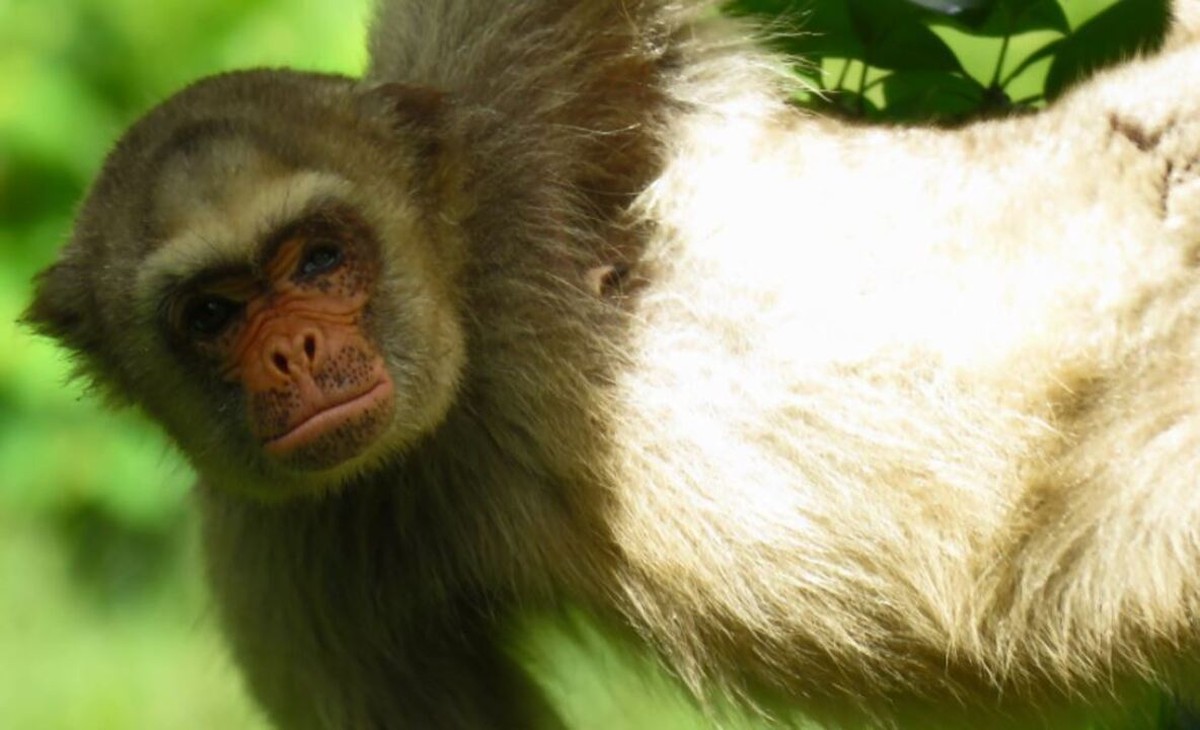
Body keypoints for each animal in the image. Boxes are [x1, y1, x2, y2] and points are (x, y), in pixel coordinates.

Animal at [23, 0, 1200, 727]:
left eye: (318, 258)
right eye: (213, 314)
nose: (294, 347)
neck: (478, 347)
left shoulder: (486, 83)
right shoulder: (274, 544)